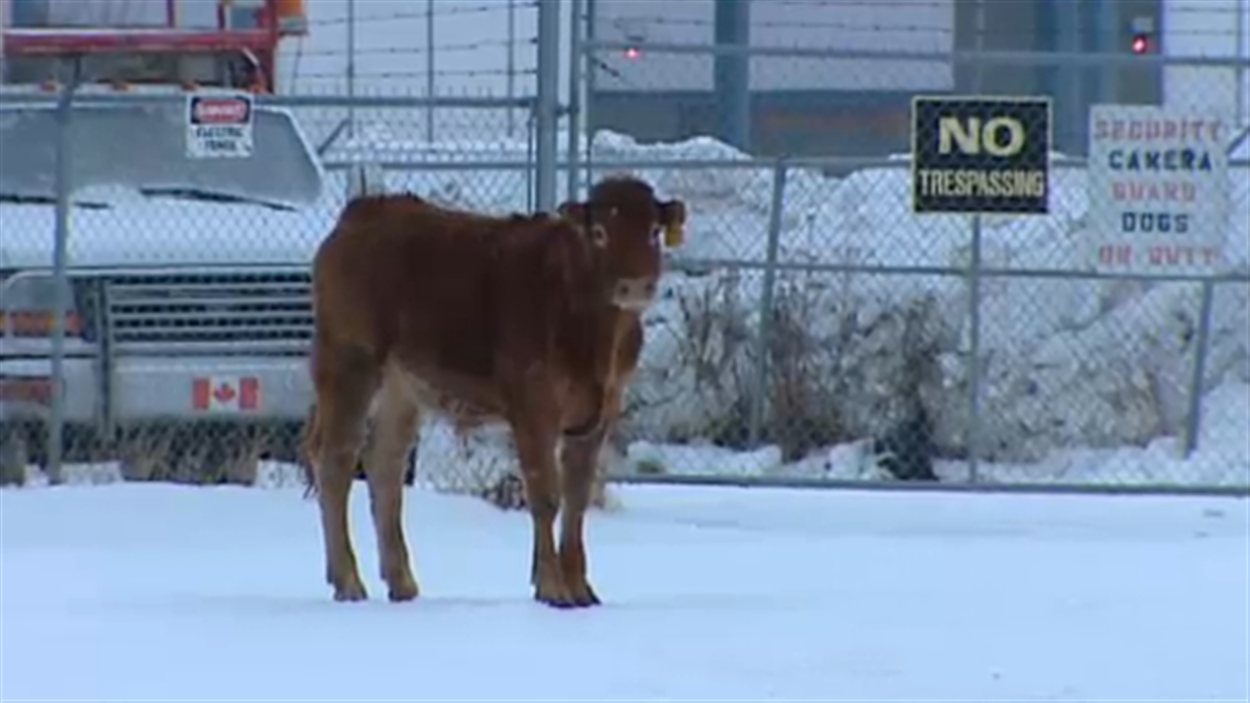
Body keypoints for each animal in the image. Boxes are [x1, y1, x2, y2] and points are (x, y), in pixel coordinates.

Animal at [301, 175, 687, 608]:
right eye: (600, 232)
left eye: (654, 231)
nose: (635, 286)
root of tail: (360, 213)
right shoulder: (534, 407)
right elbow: (545, 493)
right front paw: (552, 587)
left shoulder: (600, 412)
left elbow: (577, 497)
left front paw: (581, 589)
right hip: (351, 365)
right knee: (336, 458)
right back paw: (348, 582)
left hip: (404, 389)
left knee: (385, 465)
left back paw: (402, 582)